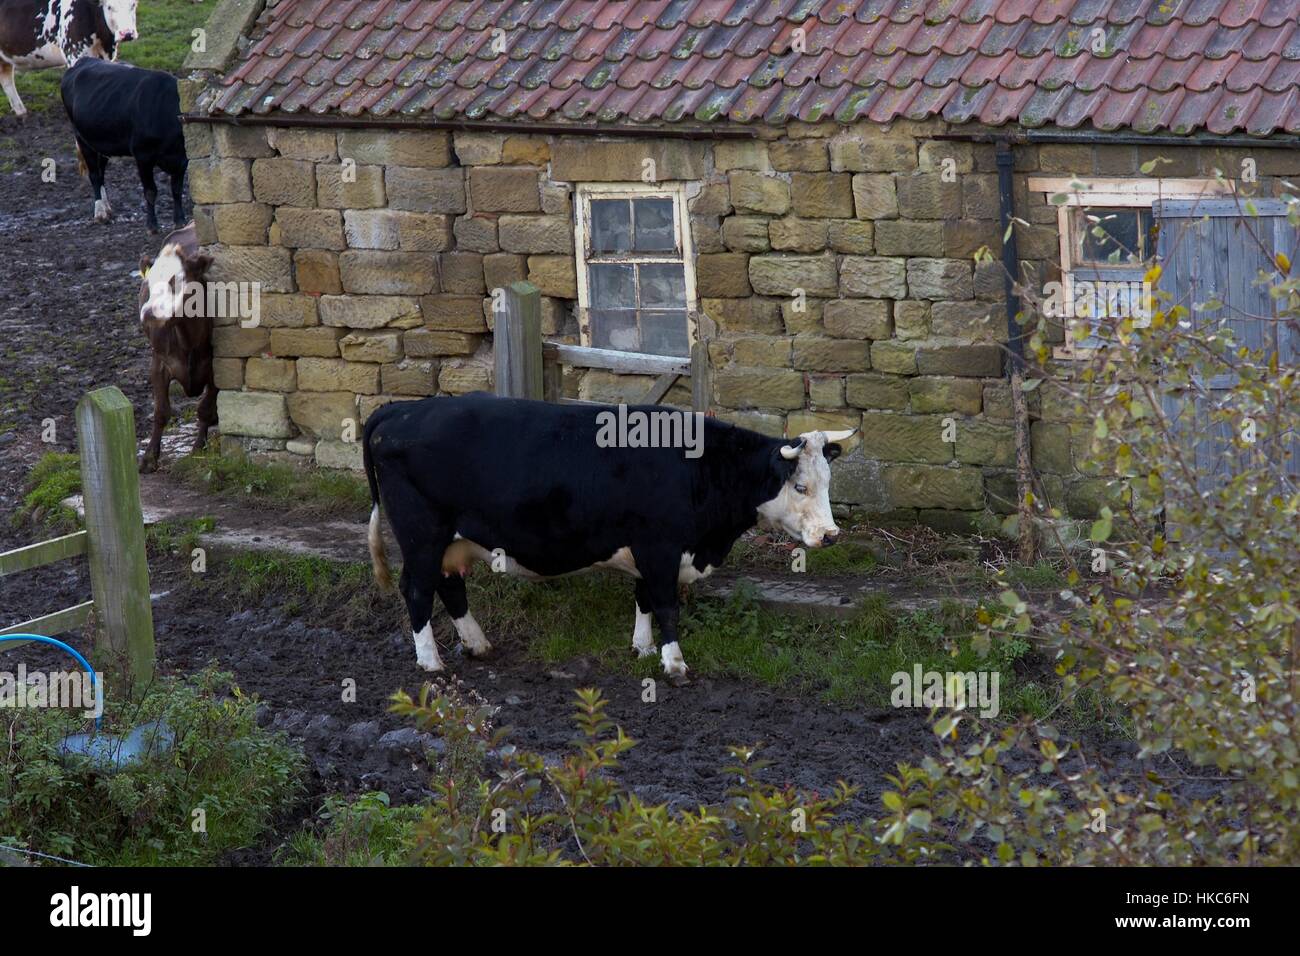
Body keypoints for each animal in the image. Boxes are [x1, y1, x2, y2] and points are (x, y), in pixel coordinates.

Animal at [0, 0, 135, 118]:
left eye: (133, 5)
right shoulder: (75, 55)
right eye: (109, 7)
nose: (127, 33)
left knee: (7, 80)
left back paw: (21, 112)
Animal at [60, 56, 186, 232]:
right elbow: (150, 191)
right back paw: (100, 213)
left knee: (101, 173)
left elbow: (176, 189)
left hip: (102, 142)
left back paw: (107, 208)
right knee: (94, 175)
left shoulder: (182, 159)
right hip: (82, 138)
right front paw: (152, 225)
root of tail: (84, 60)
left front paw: (180, 221)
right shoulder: (143, 156)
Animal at [136, 221, 217, 473]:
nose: (148, 315)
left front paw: (198, 447)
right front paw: (149, 457)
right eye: (147, 284)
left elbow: (205, 409)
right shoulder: (159, 363)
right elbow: (161, 411)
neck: (188, 339)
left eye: (176, 280)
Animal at [363, 394, 854, 683]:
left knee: (450, 586)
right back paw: (430, 661)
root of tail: (401, 409)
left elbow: (644, 599)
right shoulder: (659, 546)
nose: (831, 536)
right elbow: (666, 604)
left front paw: (643, 648)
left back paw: (478, 644)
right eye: (800, 486)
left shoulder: (648, 550)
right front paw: (674, 663)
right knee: (416, 589)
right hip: (422, 536)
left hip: (450, 541)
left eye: (828, 483)